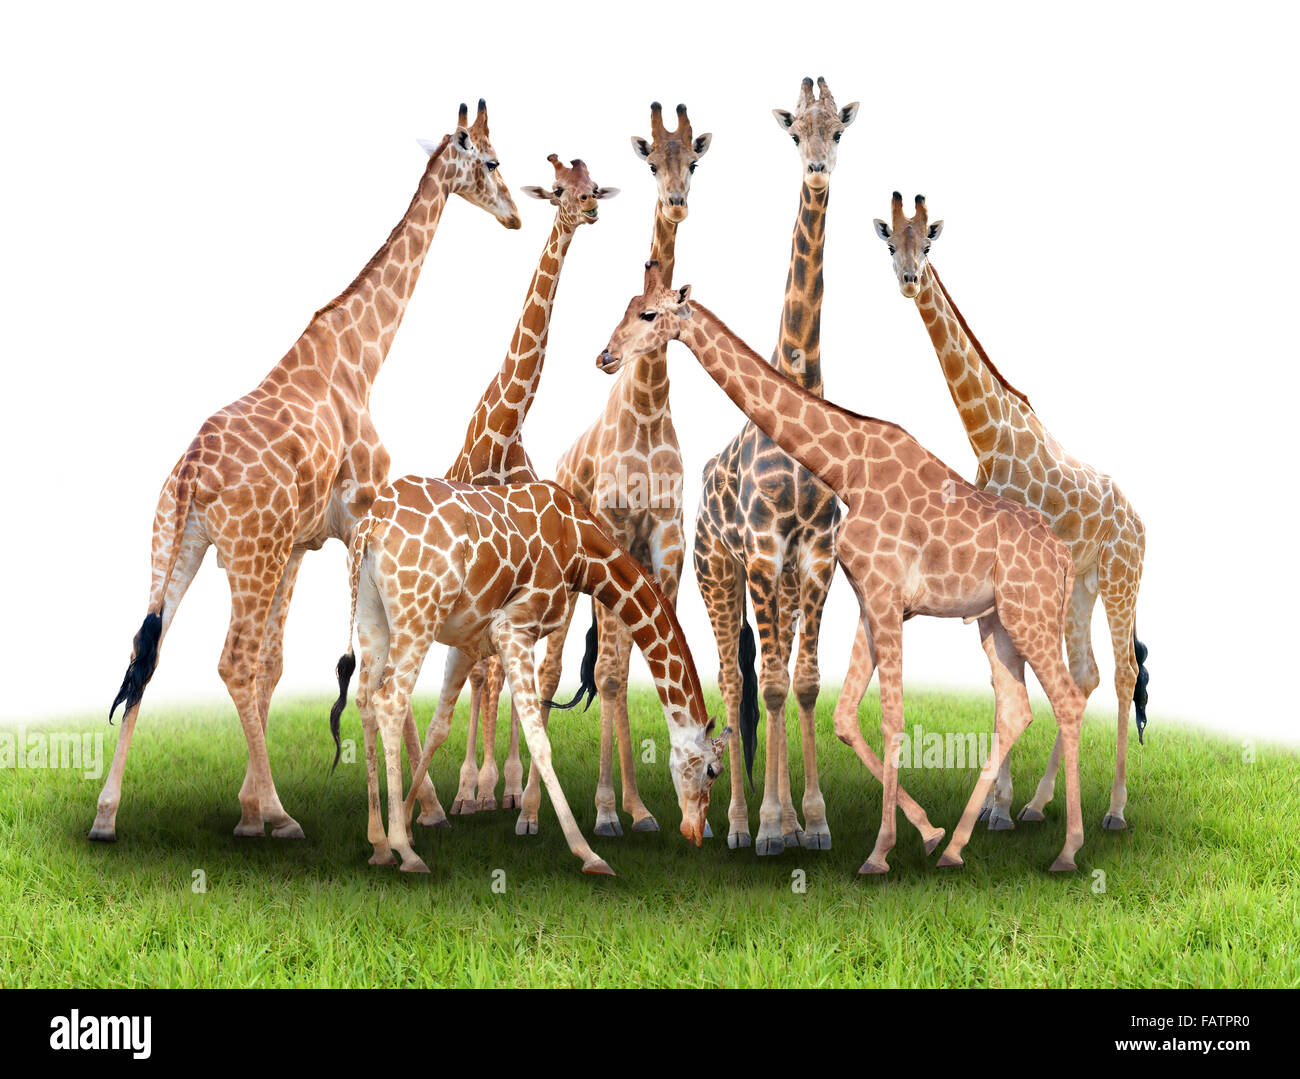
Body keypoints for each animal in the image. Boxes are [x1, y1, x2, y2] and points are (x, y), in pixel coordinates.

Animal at [95, 100, 520, 842]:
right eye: (492, 161)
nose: (516, 214)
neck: (361, 353)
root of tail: (190, 474)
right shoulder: (357, 518)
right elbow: (364, 662)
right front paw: (425, 807)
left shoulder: (298, 544)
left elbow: (277, 666)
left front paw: (247, 808)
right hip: (248, 551)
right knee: (229, 659)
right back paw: (286, 816)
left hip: (180, 545)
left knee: (145, 653)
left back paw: (107, 813)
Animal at [328, 477, 729, 875]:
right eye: (712, 771)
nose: (695, 831)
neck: (582, 550)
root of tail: (372, 523)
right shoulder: (514, 628)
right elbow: (539, 740)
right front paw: (589, 854)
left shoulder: (469, 642)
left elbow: (438, 729)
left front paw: (418, 820)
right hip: (419, 616)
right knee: (390, 699)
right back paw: (406, 855)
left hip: (372, 615)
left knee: (365, 700)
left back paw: (381, 846)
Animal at [441, 155, 617, 817]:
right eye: (559, 190)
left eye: (592, 187)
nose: (587, 209)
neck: (500, 437)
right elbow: (484, 674)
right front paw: (473, 788)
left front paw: (507, 787)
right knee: (482, 672)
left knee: (498, 670)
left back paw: (507, 787)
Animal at [598, 262, 1089, 873]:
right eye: (625, 306)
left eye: (648, 314)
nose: (606, 355)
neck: (847, 467)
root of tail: (1063, 555)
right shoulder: (870, 597)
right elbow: (846, 715)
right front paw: (925, 833)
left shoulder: (882, 593)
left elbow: (891, 718)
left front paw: (878, 853)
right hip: (995, 620)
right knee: (1017, 709)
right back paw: (955, 848)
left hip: (1030, 614)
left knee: (1068, 701)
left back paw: (1067, 850)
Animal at [850, 192, 1149, 830]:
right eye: (890, 244)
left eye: (928, 243)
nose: (909, 280)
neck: (988, 437)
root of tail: (1140, 521)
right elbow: (1000, 681)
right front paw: (1001, 806)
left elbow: (1010, 679)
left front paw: (1000, 807)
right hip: (1082, 583)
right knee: (1085, 674)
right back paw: (1042, 803)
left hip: (1121, 579)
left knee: (1122, 673)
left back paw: (1113, 810)